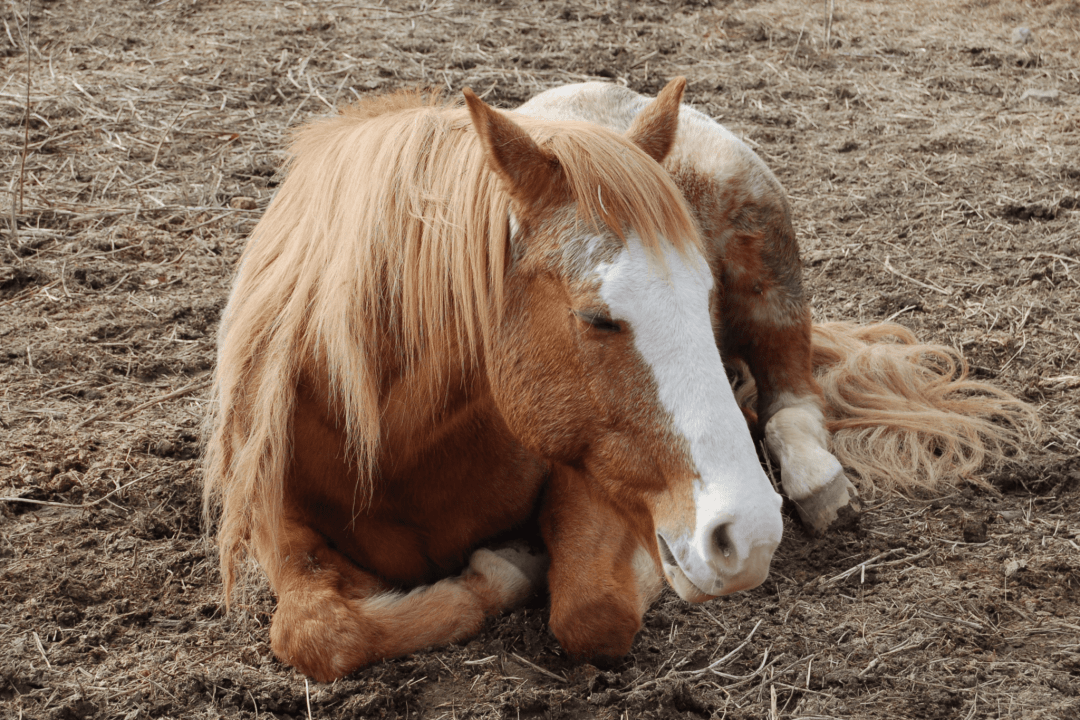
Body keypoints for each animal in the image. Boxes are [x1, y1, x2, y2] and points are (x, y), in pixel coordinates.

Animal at [204, 79, 788, 682]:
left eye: (704, 295)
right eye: (595, 318)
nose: (749, 534)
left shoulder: (589, 467)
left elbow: (594, 613)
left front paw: (514, 564)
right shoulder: (273, 513)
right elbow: (319, 632)